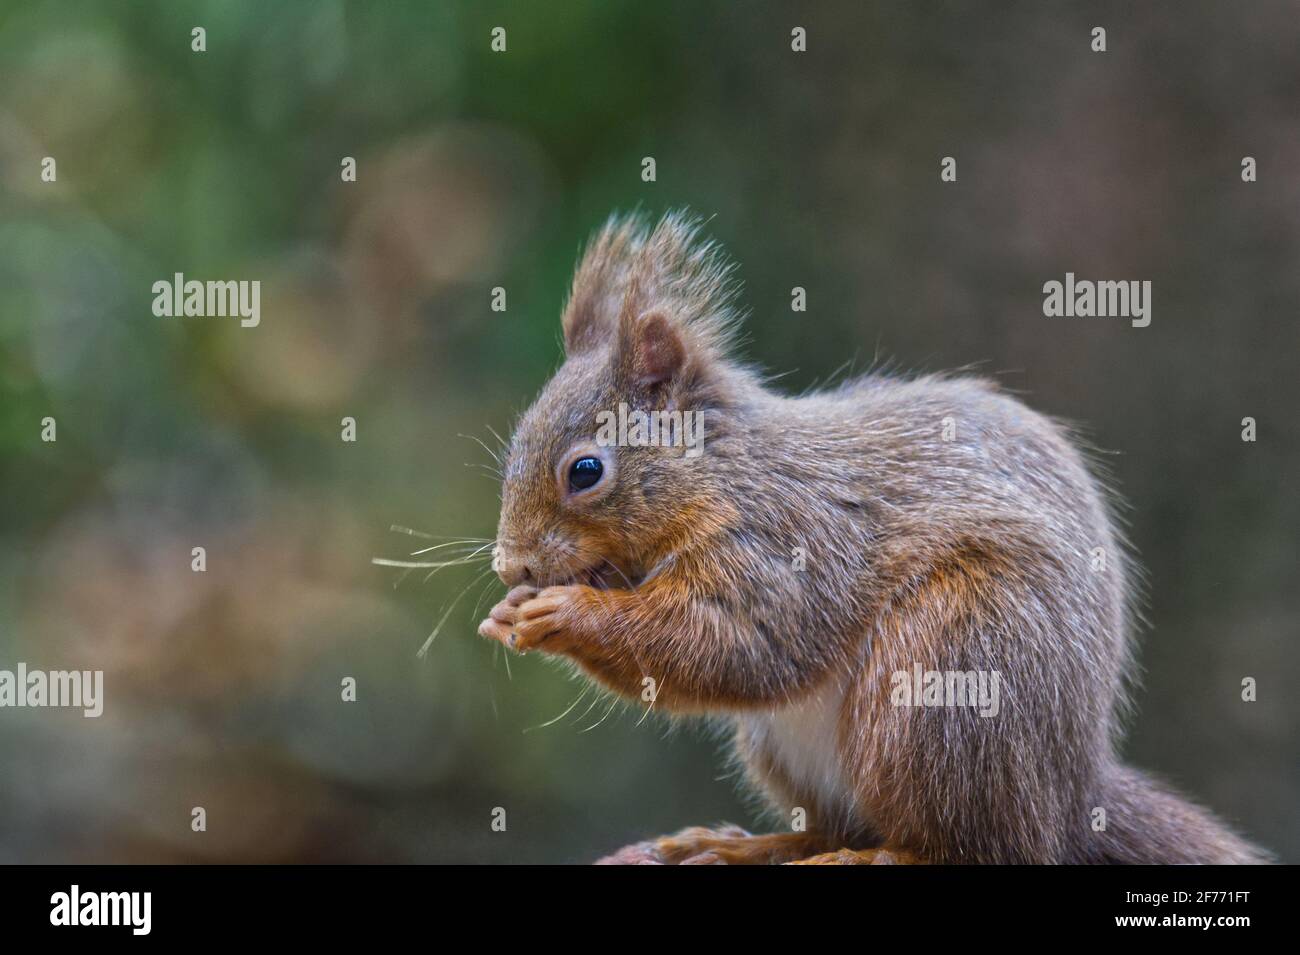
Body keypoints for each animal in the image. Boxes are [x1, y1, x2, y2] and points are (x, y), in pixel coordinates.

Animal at [476, 211, 1268, 865]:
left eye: (585, 470)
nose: (512, 565)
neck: (720, 474)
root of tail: (1073, 796)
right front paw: (513, 611)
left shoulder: (787, 542)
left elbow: (736, 643)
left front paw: (565, 612)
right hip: (792, 745)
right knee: (834, 825)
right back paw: (746, 845)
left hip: (947, 674)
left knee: (968, 845)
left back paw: (876, 855)